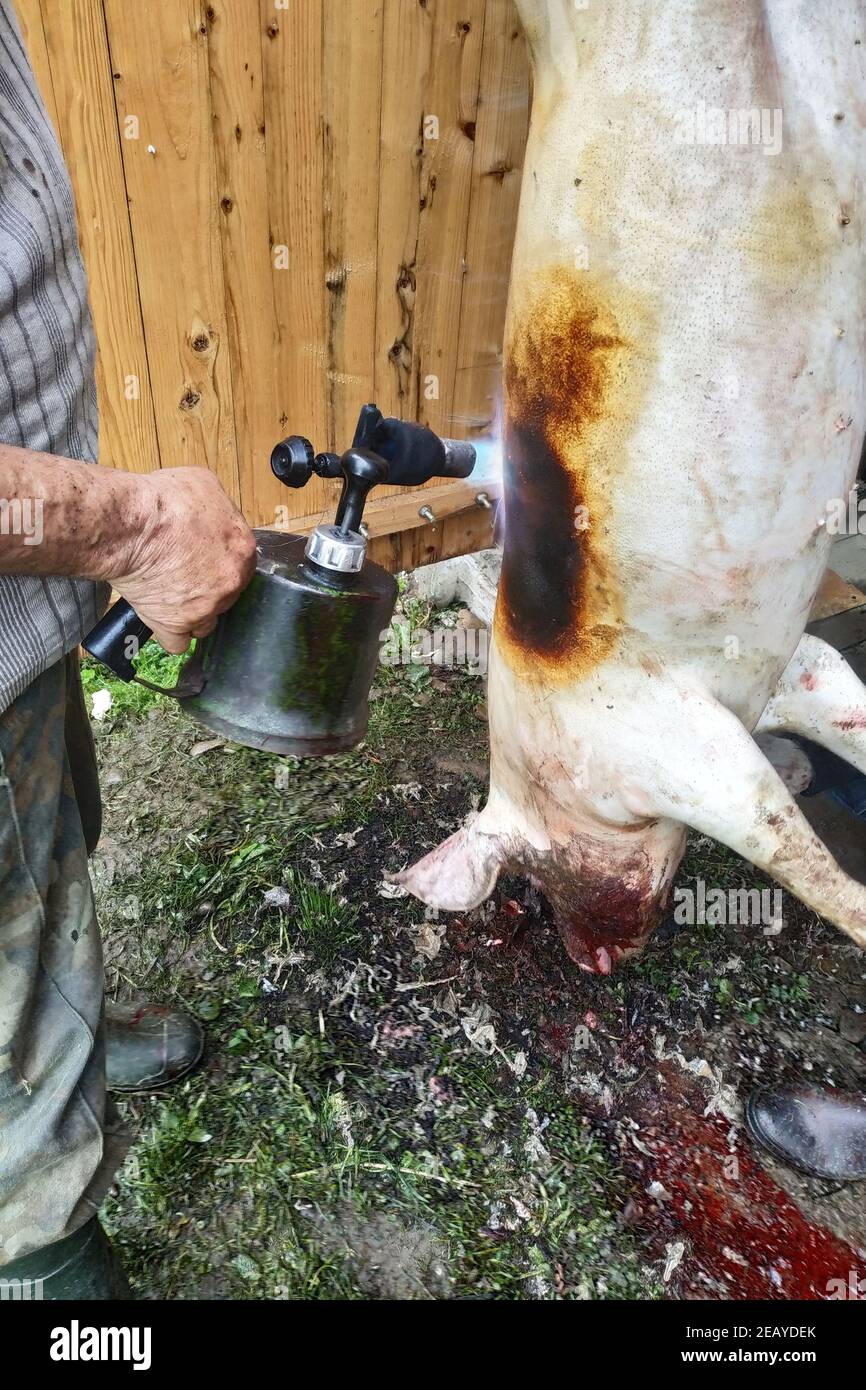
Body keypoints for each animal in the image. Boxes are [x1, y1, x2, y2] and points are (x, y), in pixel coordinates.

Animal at [396, 0, 866, 973]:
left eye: (530, 870)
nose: (593, 959)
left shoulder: (652, 735)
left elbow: (776, 833)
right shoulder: (790, 663)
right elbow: (844, 701)